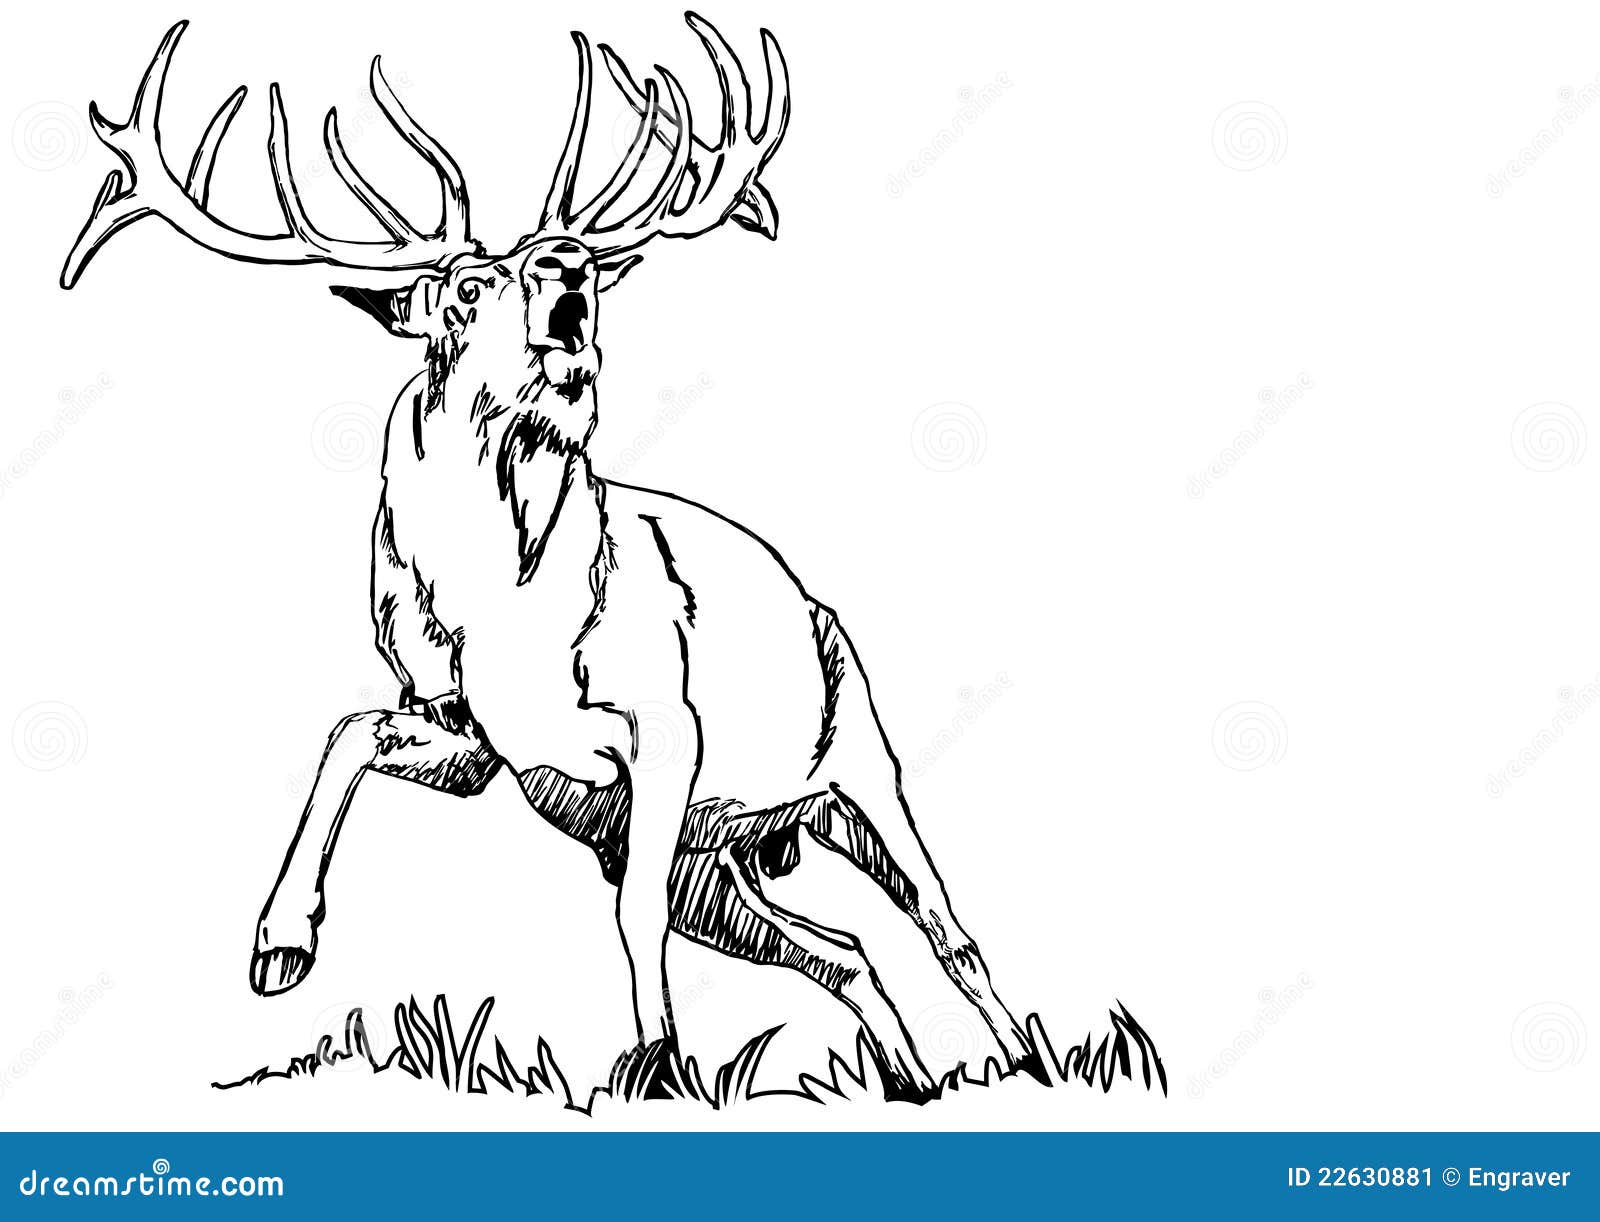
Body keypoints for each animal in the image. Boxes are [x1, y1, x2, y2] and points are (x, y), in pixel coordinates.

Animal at [59, 14, 1032, 1098]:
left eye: (587, 272)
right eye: (465, 287)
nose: (567, 267)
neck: (506, 607)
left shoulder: (666, 725)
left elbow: (632, 913)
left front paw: (655, 1064)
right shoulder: (480, 738)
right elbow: (350, 729)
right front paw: (281, 942)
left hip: (856, 767)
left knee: (945, 927)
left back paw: (1017, 1059)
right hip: (714, 858)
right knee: (839, 949)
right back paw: (910, 1078)